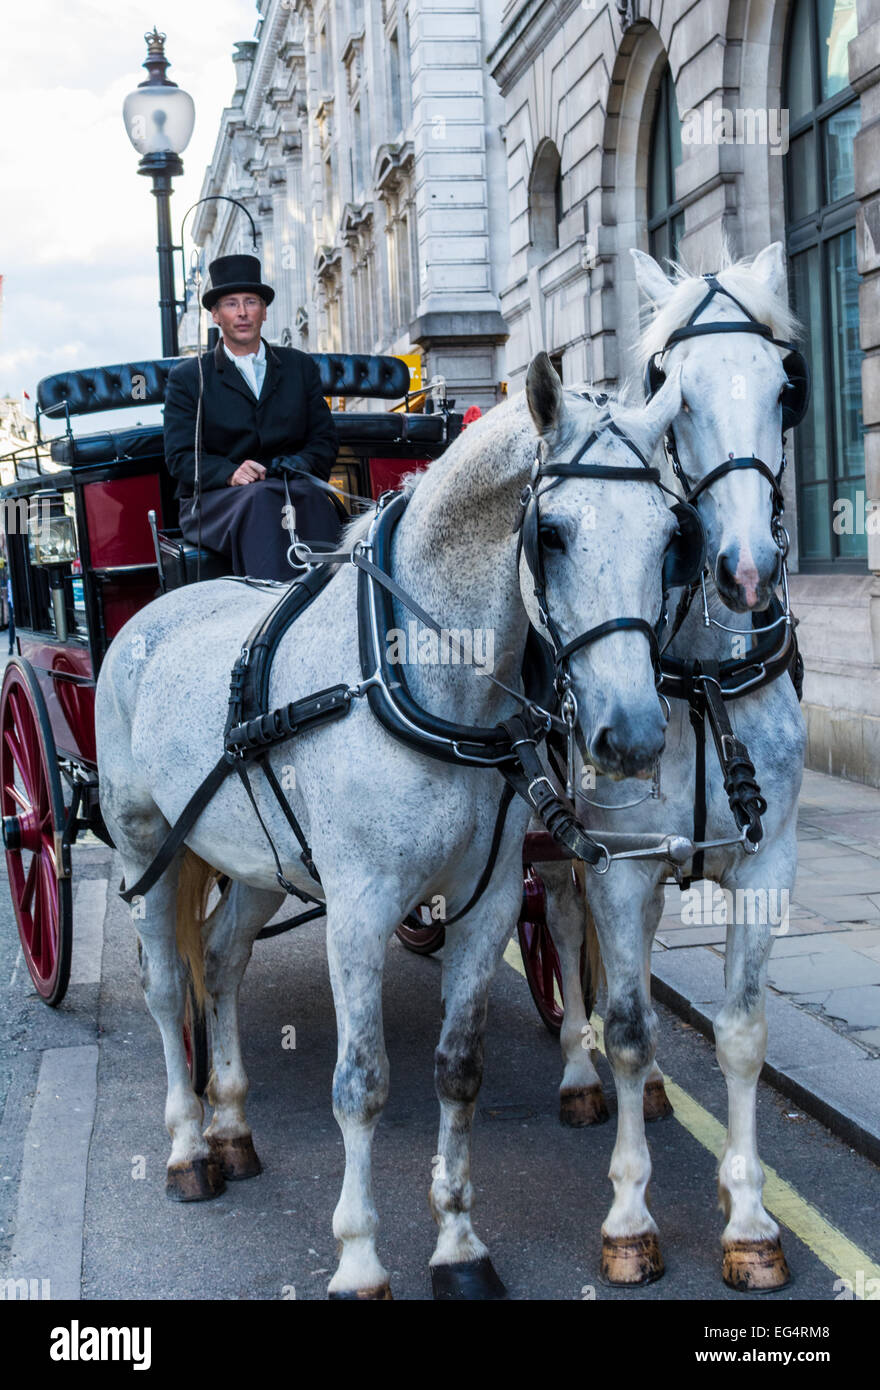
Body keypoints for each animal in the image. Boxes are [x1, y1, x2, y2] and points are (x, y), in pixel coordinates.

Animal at [95, 353, 692, 1300]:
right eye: (552, 533)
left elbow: (459, 1070)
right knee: (164, 985)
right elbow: (362, 1083)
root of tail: (159, 611)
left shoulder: (486, 903)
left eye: (672, 535)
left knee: (219, 961)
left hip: (260, 862)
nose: (631, 735)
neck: (425, 678)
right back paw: (190, 1148)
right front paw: (360, 1255)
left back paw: (231, 1124)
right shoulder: (359, 907)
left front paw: (459, 1245)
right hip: (146, 838)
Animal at [539, 242, 807, 1292]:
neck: (696, 672)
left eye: (785, 390)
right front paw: (628, 1214)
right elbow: (625, 1021)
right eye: (670, 387)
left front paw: (751, 1219)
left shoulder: (766, 861)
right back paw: (581, 1074)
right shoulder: (620, 861)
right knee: (568, 933)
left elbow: (739, 1032)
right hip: (570, 853)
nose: (746, 571)